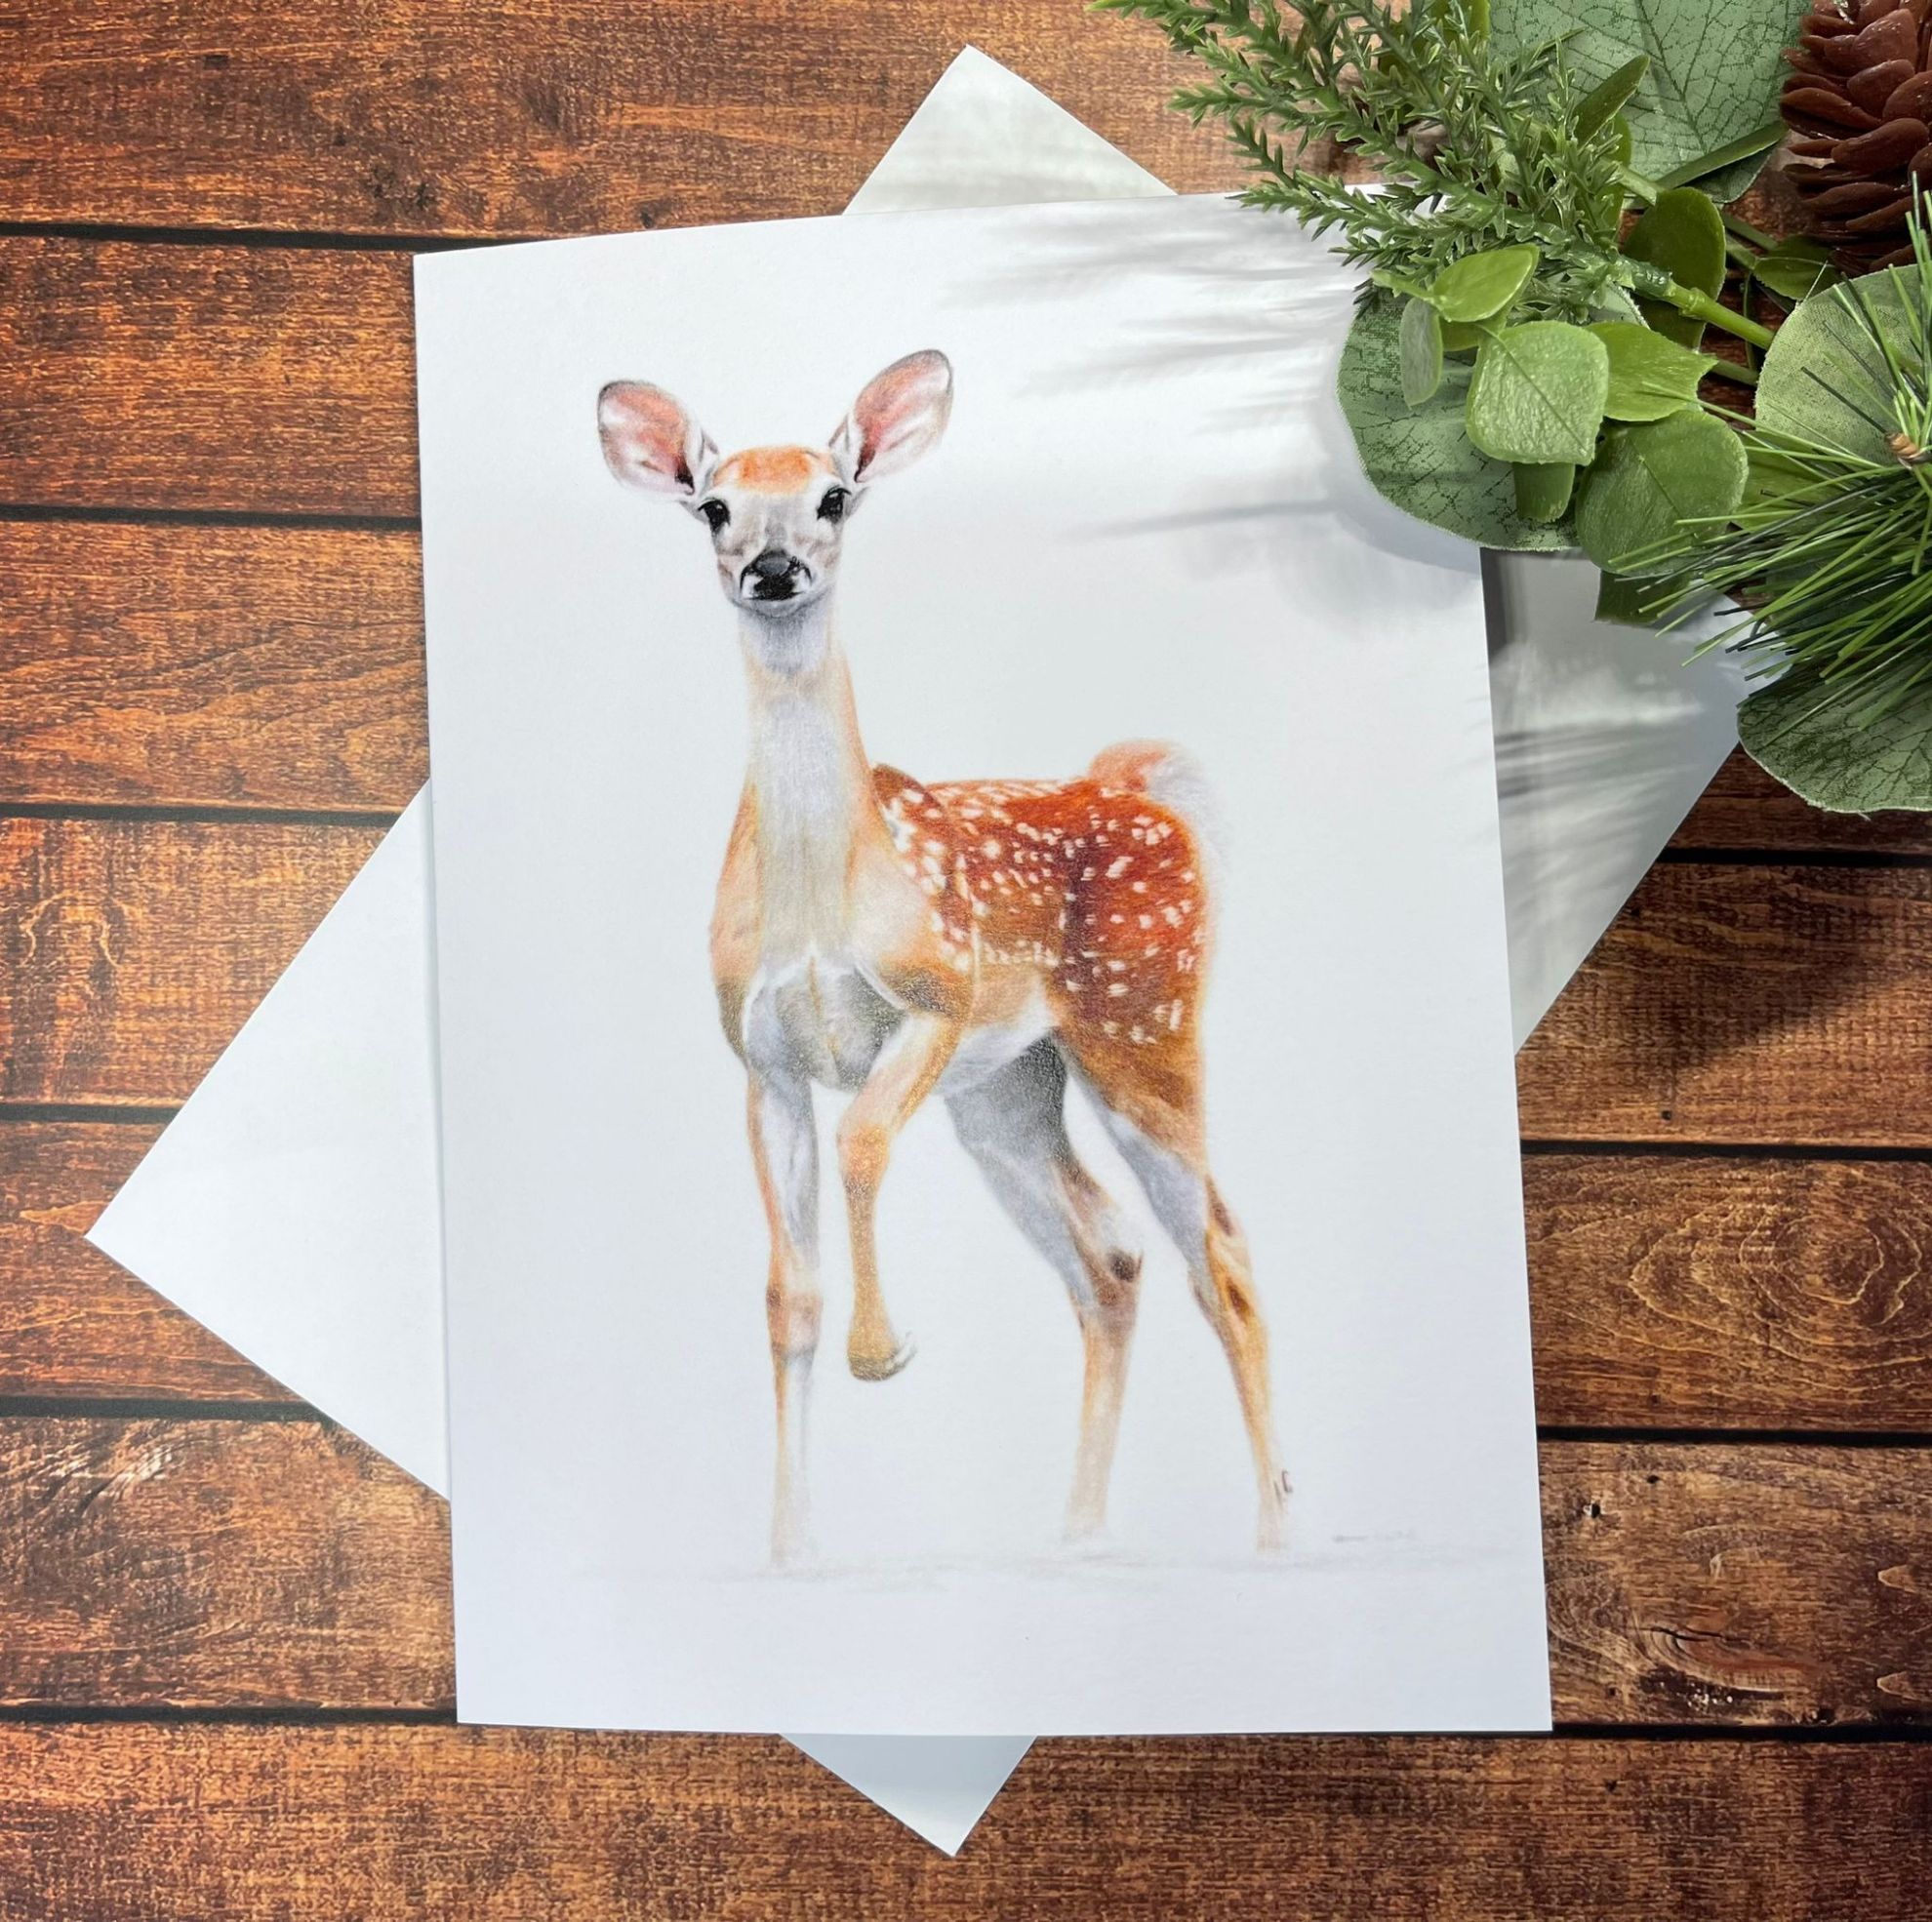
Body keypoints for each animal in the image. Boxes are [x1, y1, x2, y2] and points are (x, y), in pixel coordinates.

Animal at [597, 350, 1288, 1565]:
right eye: (715, 506)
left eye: (833, 497)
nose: (773, 568)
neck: (820, 902)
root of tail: (1145, 791)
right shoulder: (761, 1059)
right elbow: (787, 1295)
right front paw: (788, 1548)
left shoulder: (939, 996)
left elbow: (866, 1138)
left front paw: (886, 1350)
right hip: (1010, 1091)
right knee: (1112, 1256)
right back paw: (1078, 1533)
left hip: (1141, 1027)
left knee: (1222, 1250)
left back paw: (1272, 1532)